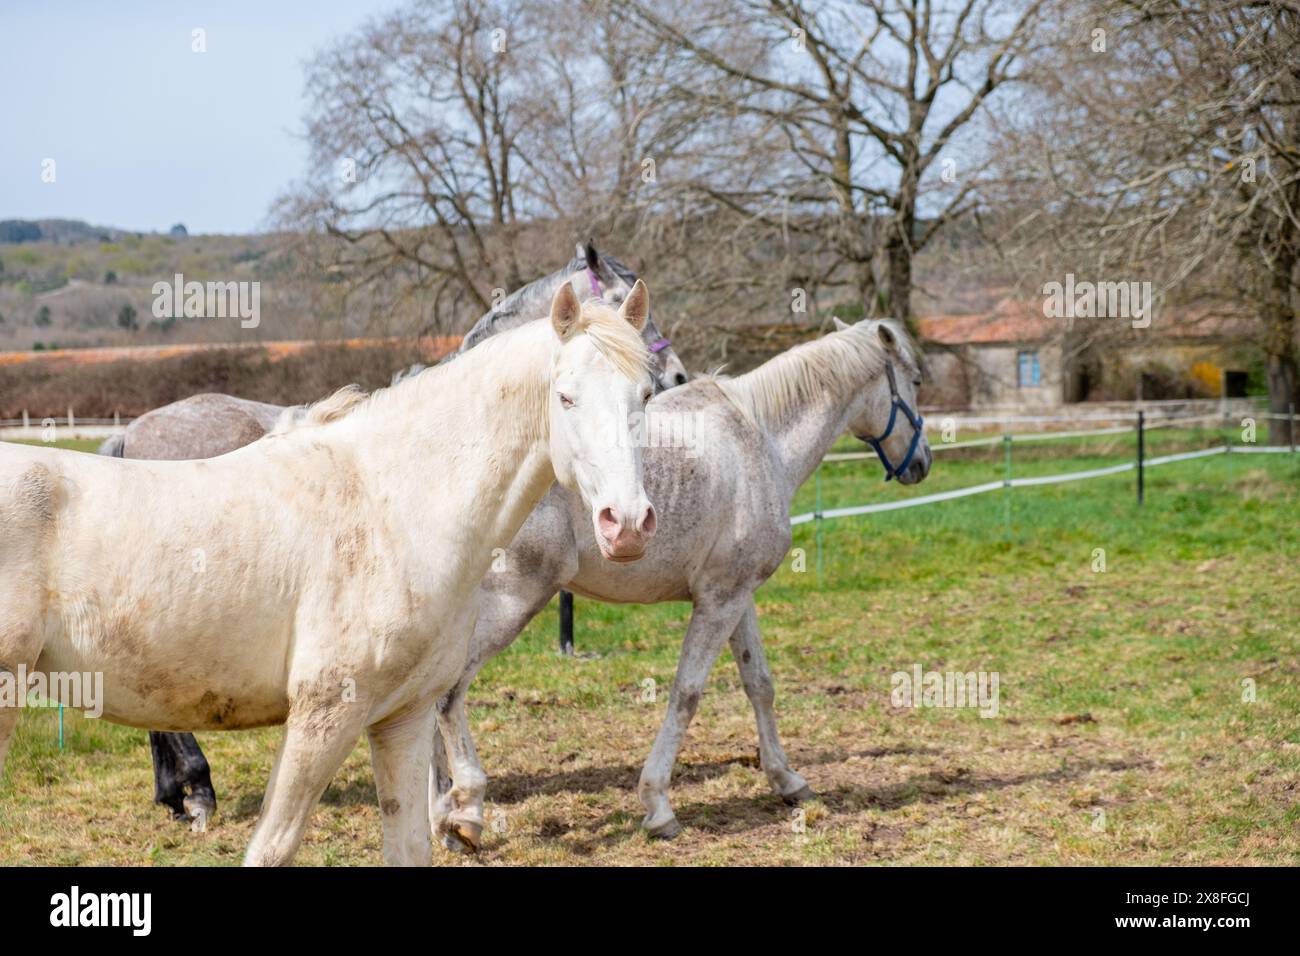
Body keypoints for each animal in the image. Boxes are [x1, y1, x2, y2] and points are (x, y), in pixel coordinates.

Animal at [0, 283, 659, 865]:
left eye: (644, 398)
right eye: (566, 397)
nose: (626, 524)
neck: (389, 503)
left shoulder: (403, 717)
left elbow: (410, 845)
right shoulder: (324, 715)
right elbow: (273, 846)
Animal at [430, 318, 931, 843]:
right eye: (916, 381)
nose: (922, 463)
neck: (760, 439)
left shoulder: (736, 596)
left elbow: (759, 683)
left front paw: (787, 779)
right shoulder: (719, 602)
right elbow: (687, 694)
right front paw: (658, 804)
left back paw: (439, 817)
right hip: (512, 603)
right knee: (447, 694)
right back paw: (465, 812)